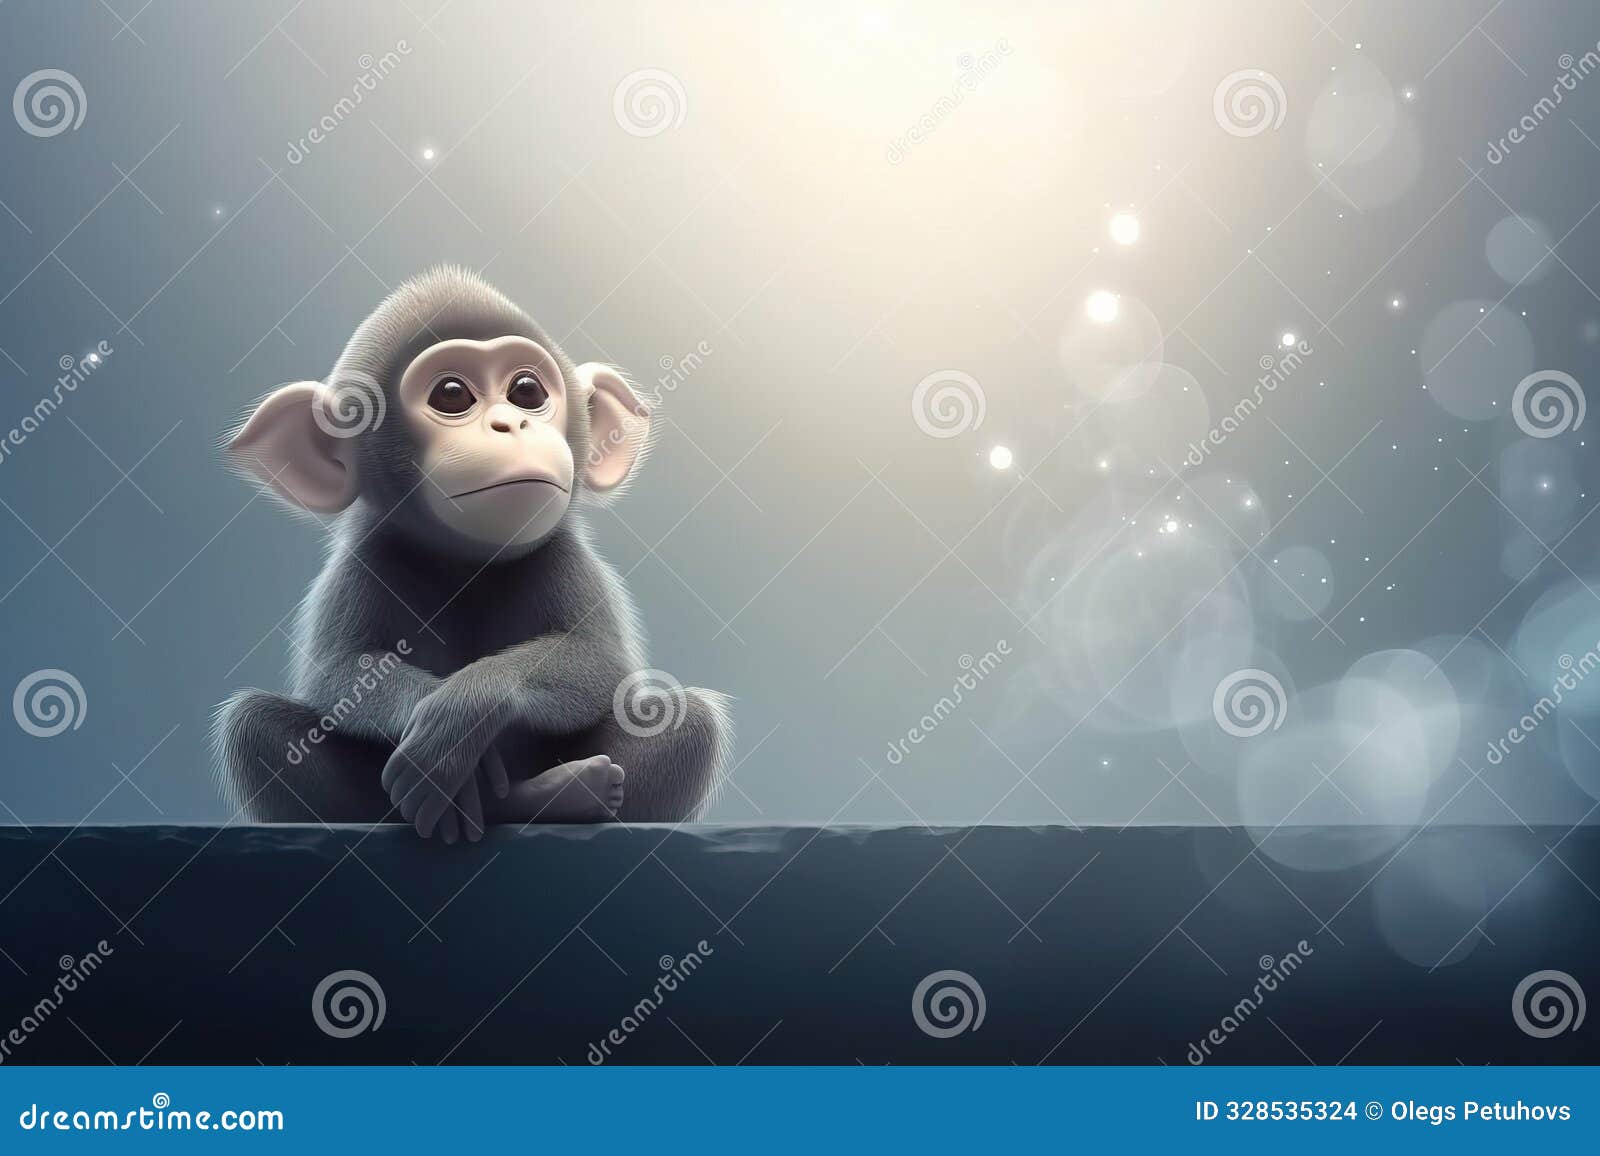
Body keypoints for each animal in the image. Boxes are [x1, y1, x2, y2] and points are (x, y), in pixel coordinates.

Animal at [212, 266, 733, 842]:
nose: (513, 424)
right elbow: (339, 672)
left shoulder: (564, 554)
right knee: (256, 726)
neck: (468, 562)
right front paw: (452, 750)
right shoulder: (365, 560)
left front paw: (467, 710)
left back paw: (558, 793)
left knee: (686, 721)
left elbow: (599, 661)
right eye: (452, 395)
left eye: (526, 390)